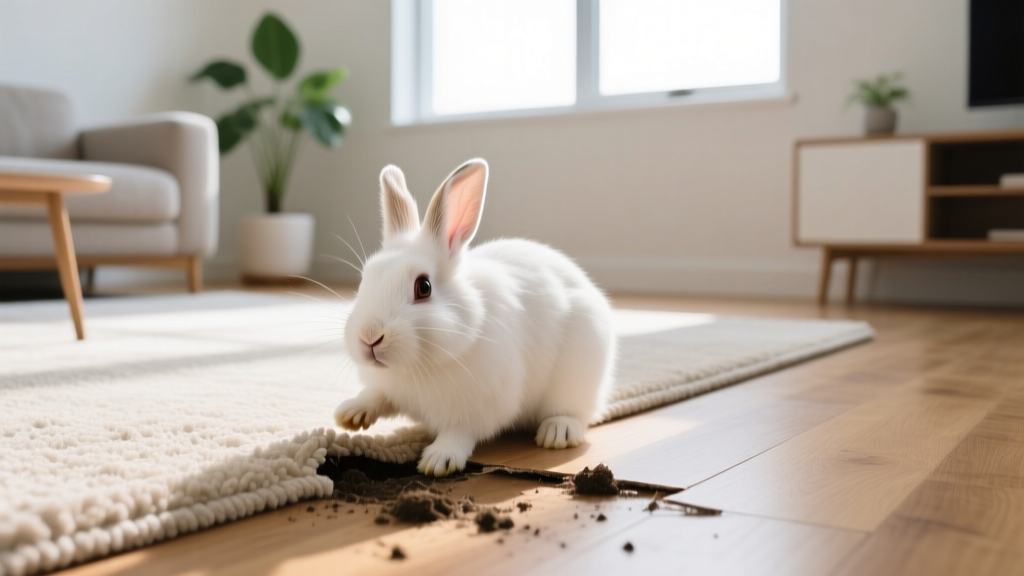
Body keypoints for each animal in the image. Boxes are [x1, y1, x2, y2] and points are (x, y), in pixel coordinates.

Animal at [334, 158, 616, 477]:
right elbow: (377, 396)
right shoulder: (388, 388)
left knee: (577, 413)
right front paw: (350, 413)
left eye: (423, 287)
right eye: (364, 280)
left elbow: (459, 432)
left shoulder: (478, 407)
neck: (416, 367)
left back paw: (558, 432)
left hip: (579, 373)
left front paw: (439, 460)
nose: (369, 337)